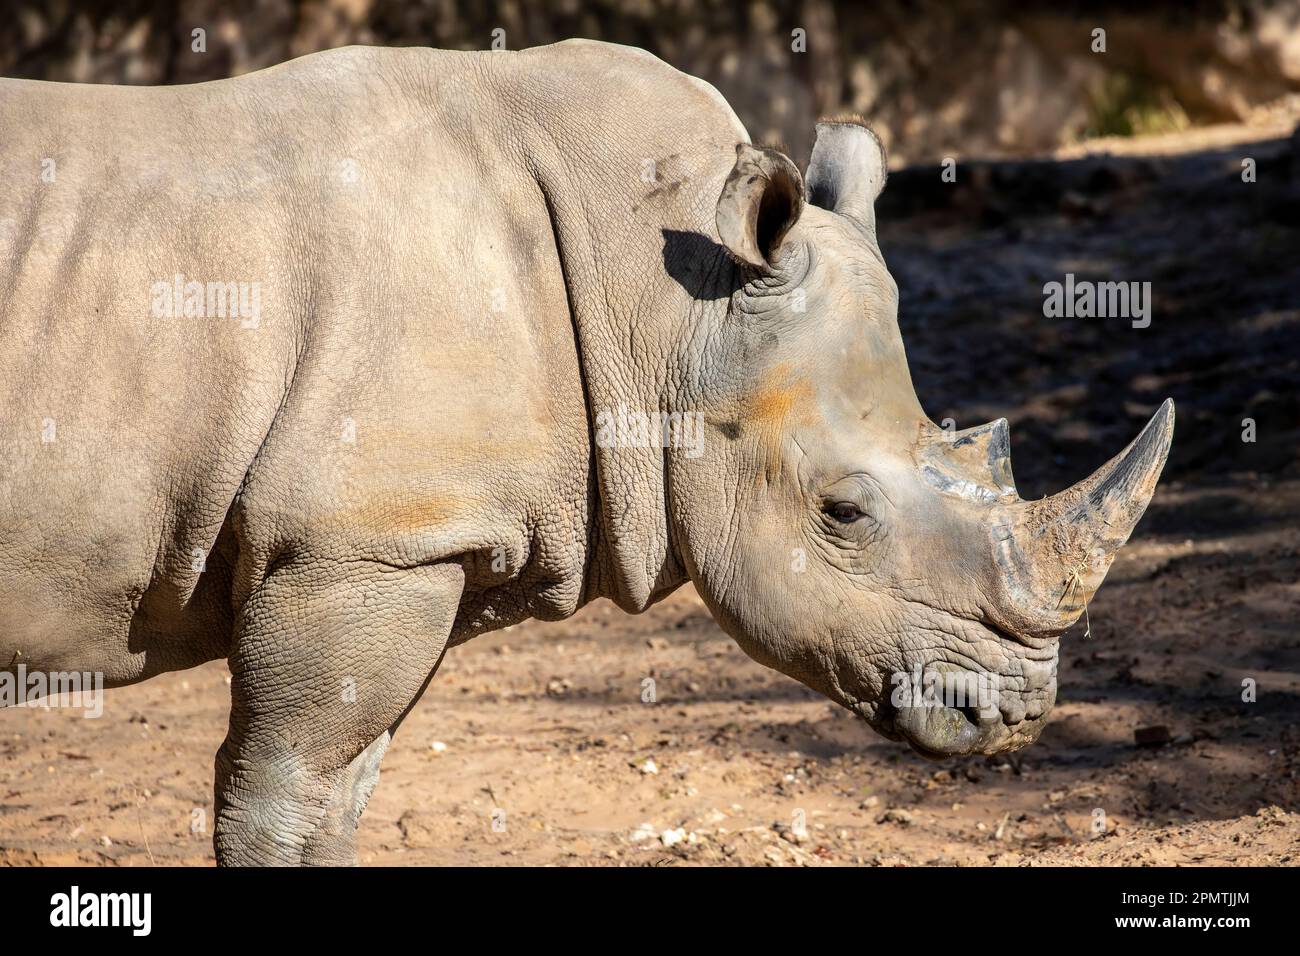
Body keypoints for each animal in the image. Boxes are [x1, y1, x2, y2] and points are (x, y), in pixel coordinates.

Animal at [0, 41, 1172, 865]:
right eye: (843, 514)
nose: (1017, 712)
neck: (668, 311)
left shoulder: (407, 543)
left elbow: (341, 790)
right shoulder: (357, 543)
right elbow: (285, 792)